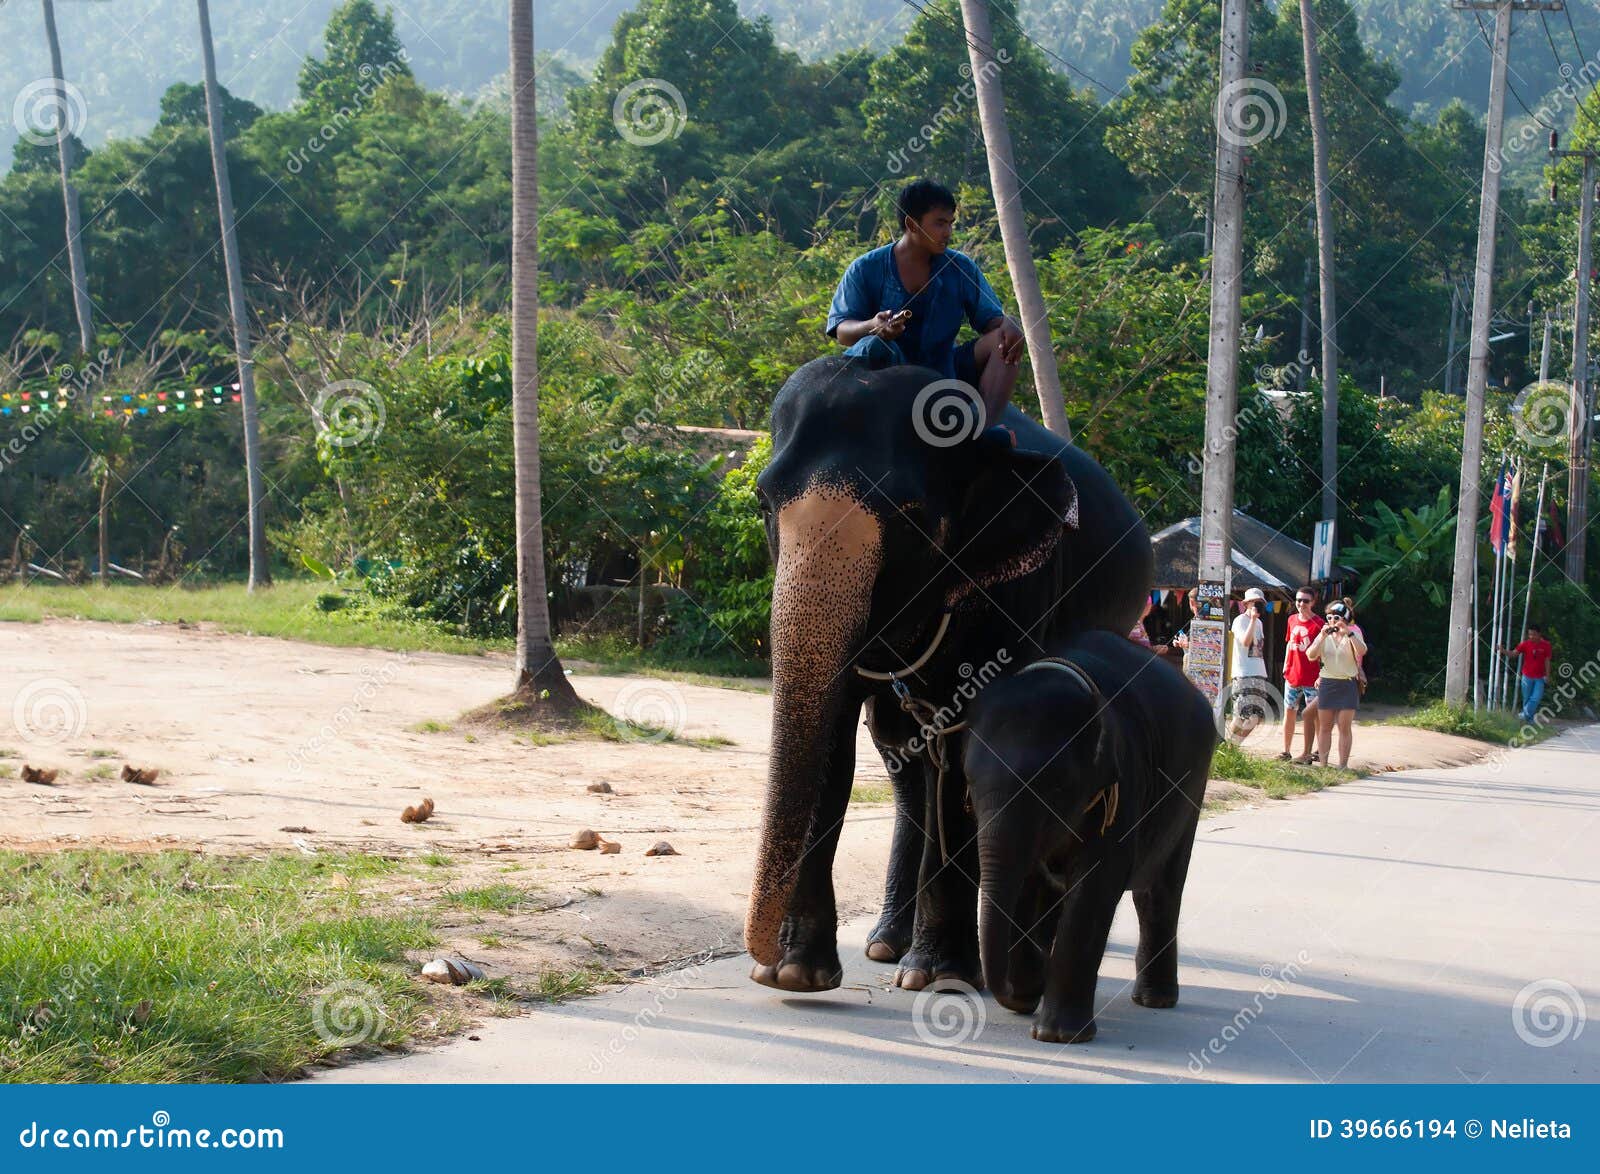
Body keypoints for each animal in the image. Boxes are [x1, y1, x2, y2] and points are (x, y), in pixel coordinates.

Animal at [744, 354, 1153, 994]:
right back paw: (887, 944)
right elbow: (833, 739)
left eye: (911, 519)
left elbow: (967, 752)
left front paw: (937, 974)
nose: (757, 956)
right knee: (903, 761)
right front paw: (794, 973)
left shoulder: (1019, 592)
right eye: (764, 503)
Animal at [962, 629, 1217, 1042]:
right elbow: (1026, 881)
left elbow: (1097, 883)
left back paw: (1155, 1000)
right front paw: (1028, 991)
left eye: (1055, 788)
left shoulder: (1124, 780)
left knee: (1160, 891)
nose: (1016, 993)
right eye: (969, 782)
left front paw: (1057, 1035)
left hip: (1192, 790)